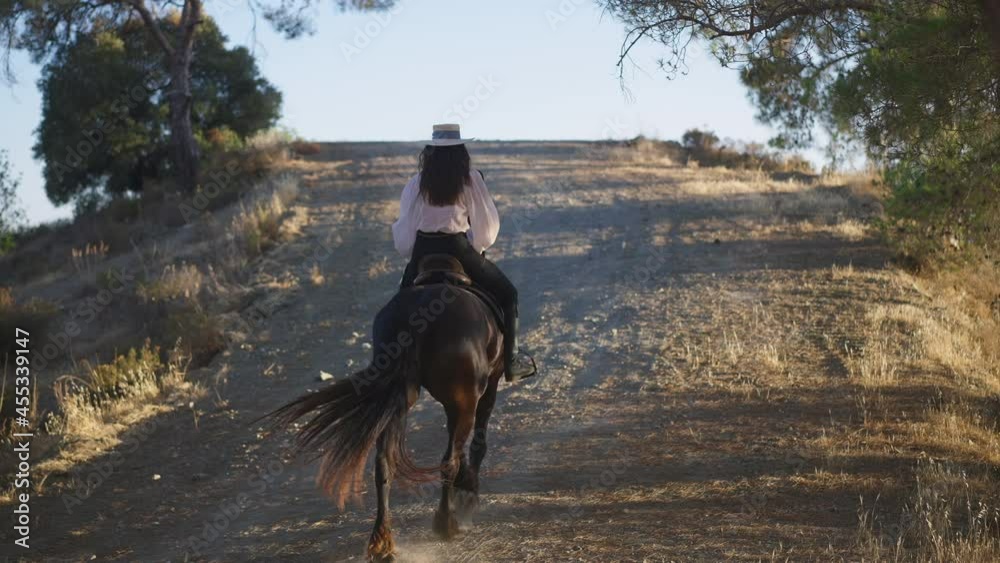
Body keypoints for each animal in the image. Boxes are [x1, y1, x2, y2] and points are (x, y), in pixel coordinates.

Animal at [267, 255, 505, 562]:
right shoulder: (490, 384)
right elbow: (477, 441)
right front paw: (468, 493)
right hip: (461, 399)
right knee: (448, 460)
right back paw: (446, 523)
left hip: (397, 400)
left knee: (383, 463)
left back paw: (383, 543)